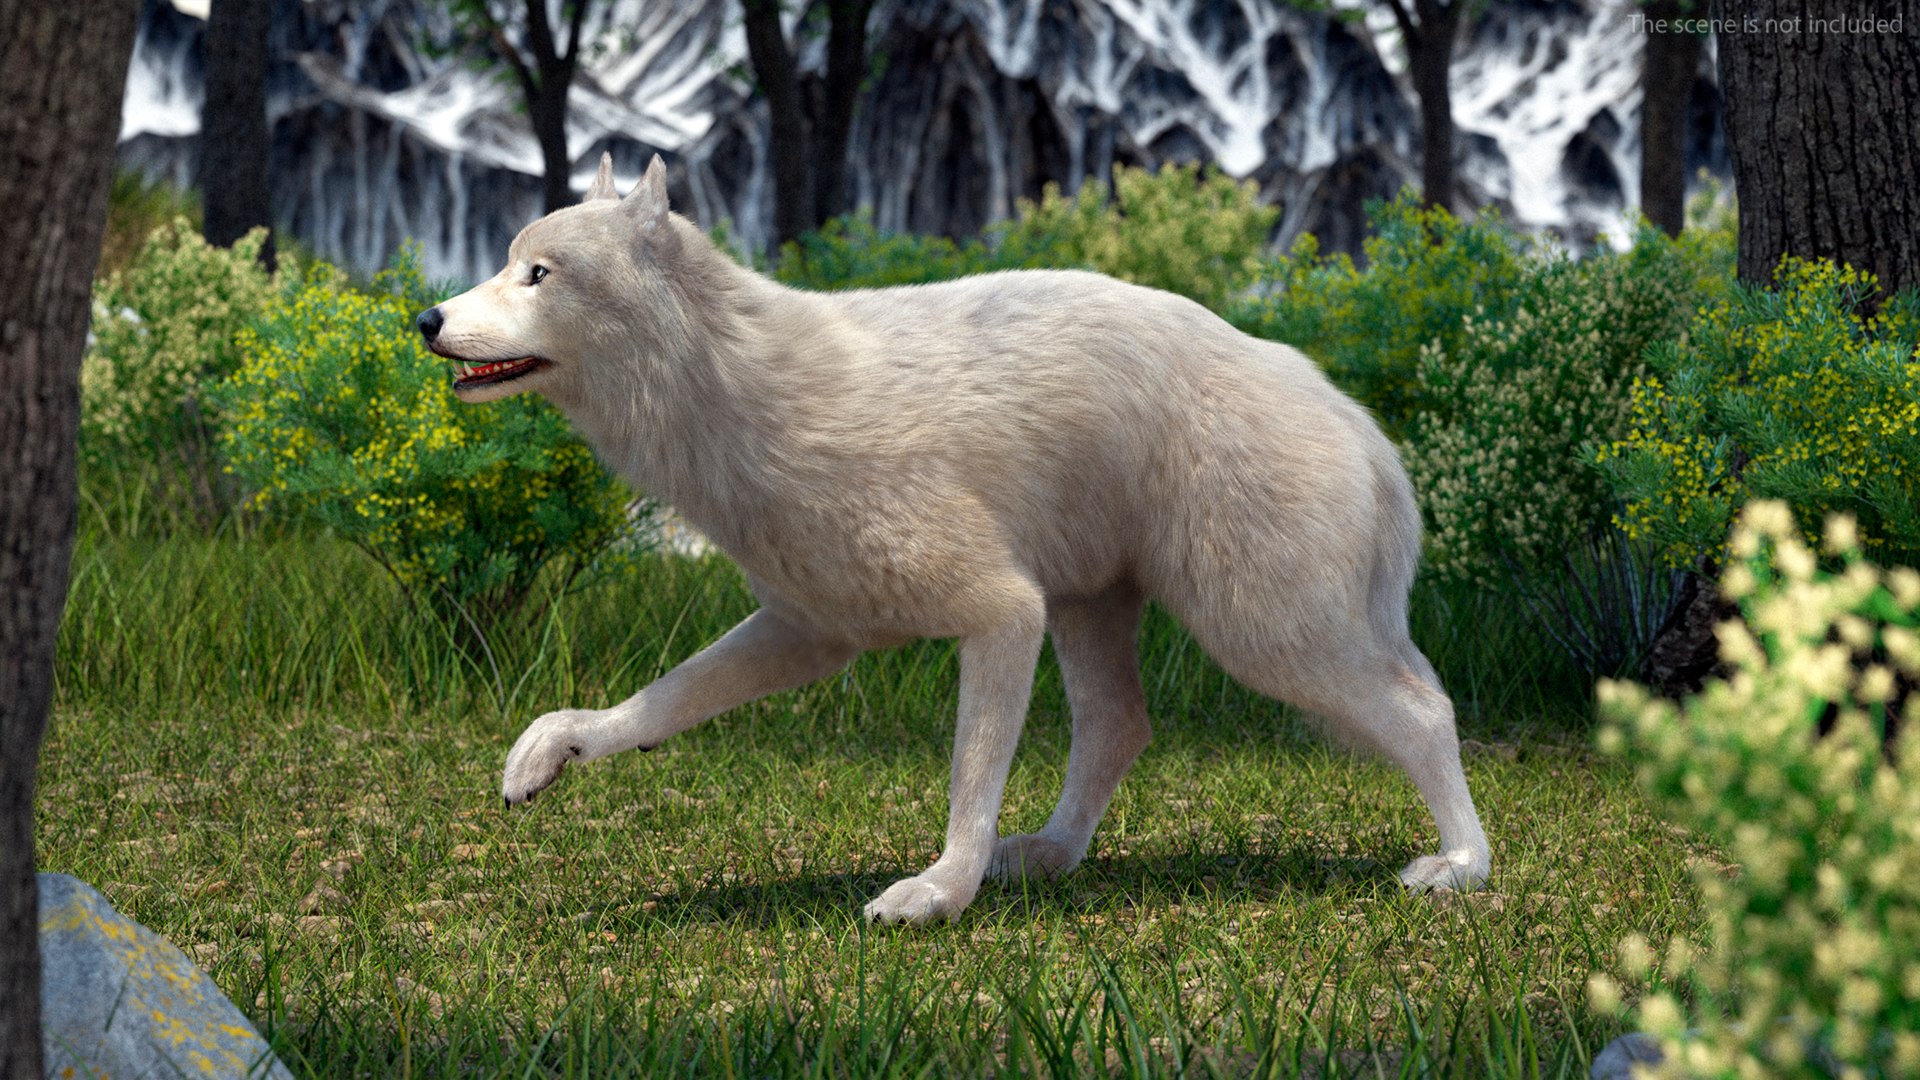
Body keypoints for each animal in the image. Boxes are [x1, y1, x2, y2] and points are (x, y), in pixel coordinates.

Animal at [415, 154, 1491, 924]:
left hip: (1262, 631)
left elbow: (971, 777)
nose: (426, 317)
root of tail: (1358, 423)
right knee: (1120, 725)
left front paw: (937, 892)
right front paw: (556, 749)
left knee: (1425, 709)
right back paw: (1051, 855)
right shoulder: (809, 627)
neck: (740, 389)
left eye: (538, 273)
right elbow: (654, 707)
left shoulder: (1000, 609)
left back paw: (1463, 866)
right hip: (1100, 605)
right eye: (508, 259)